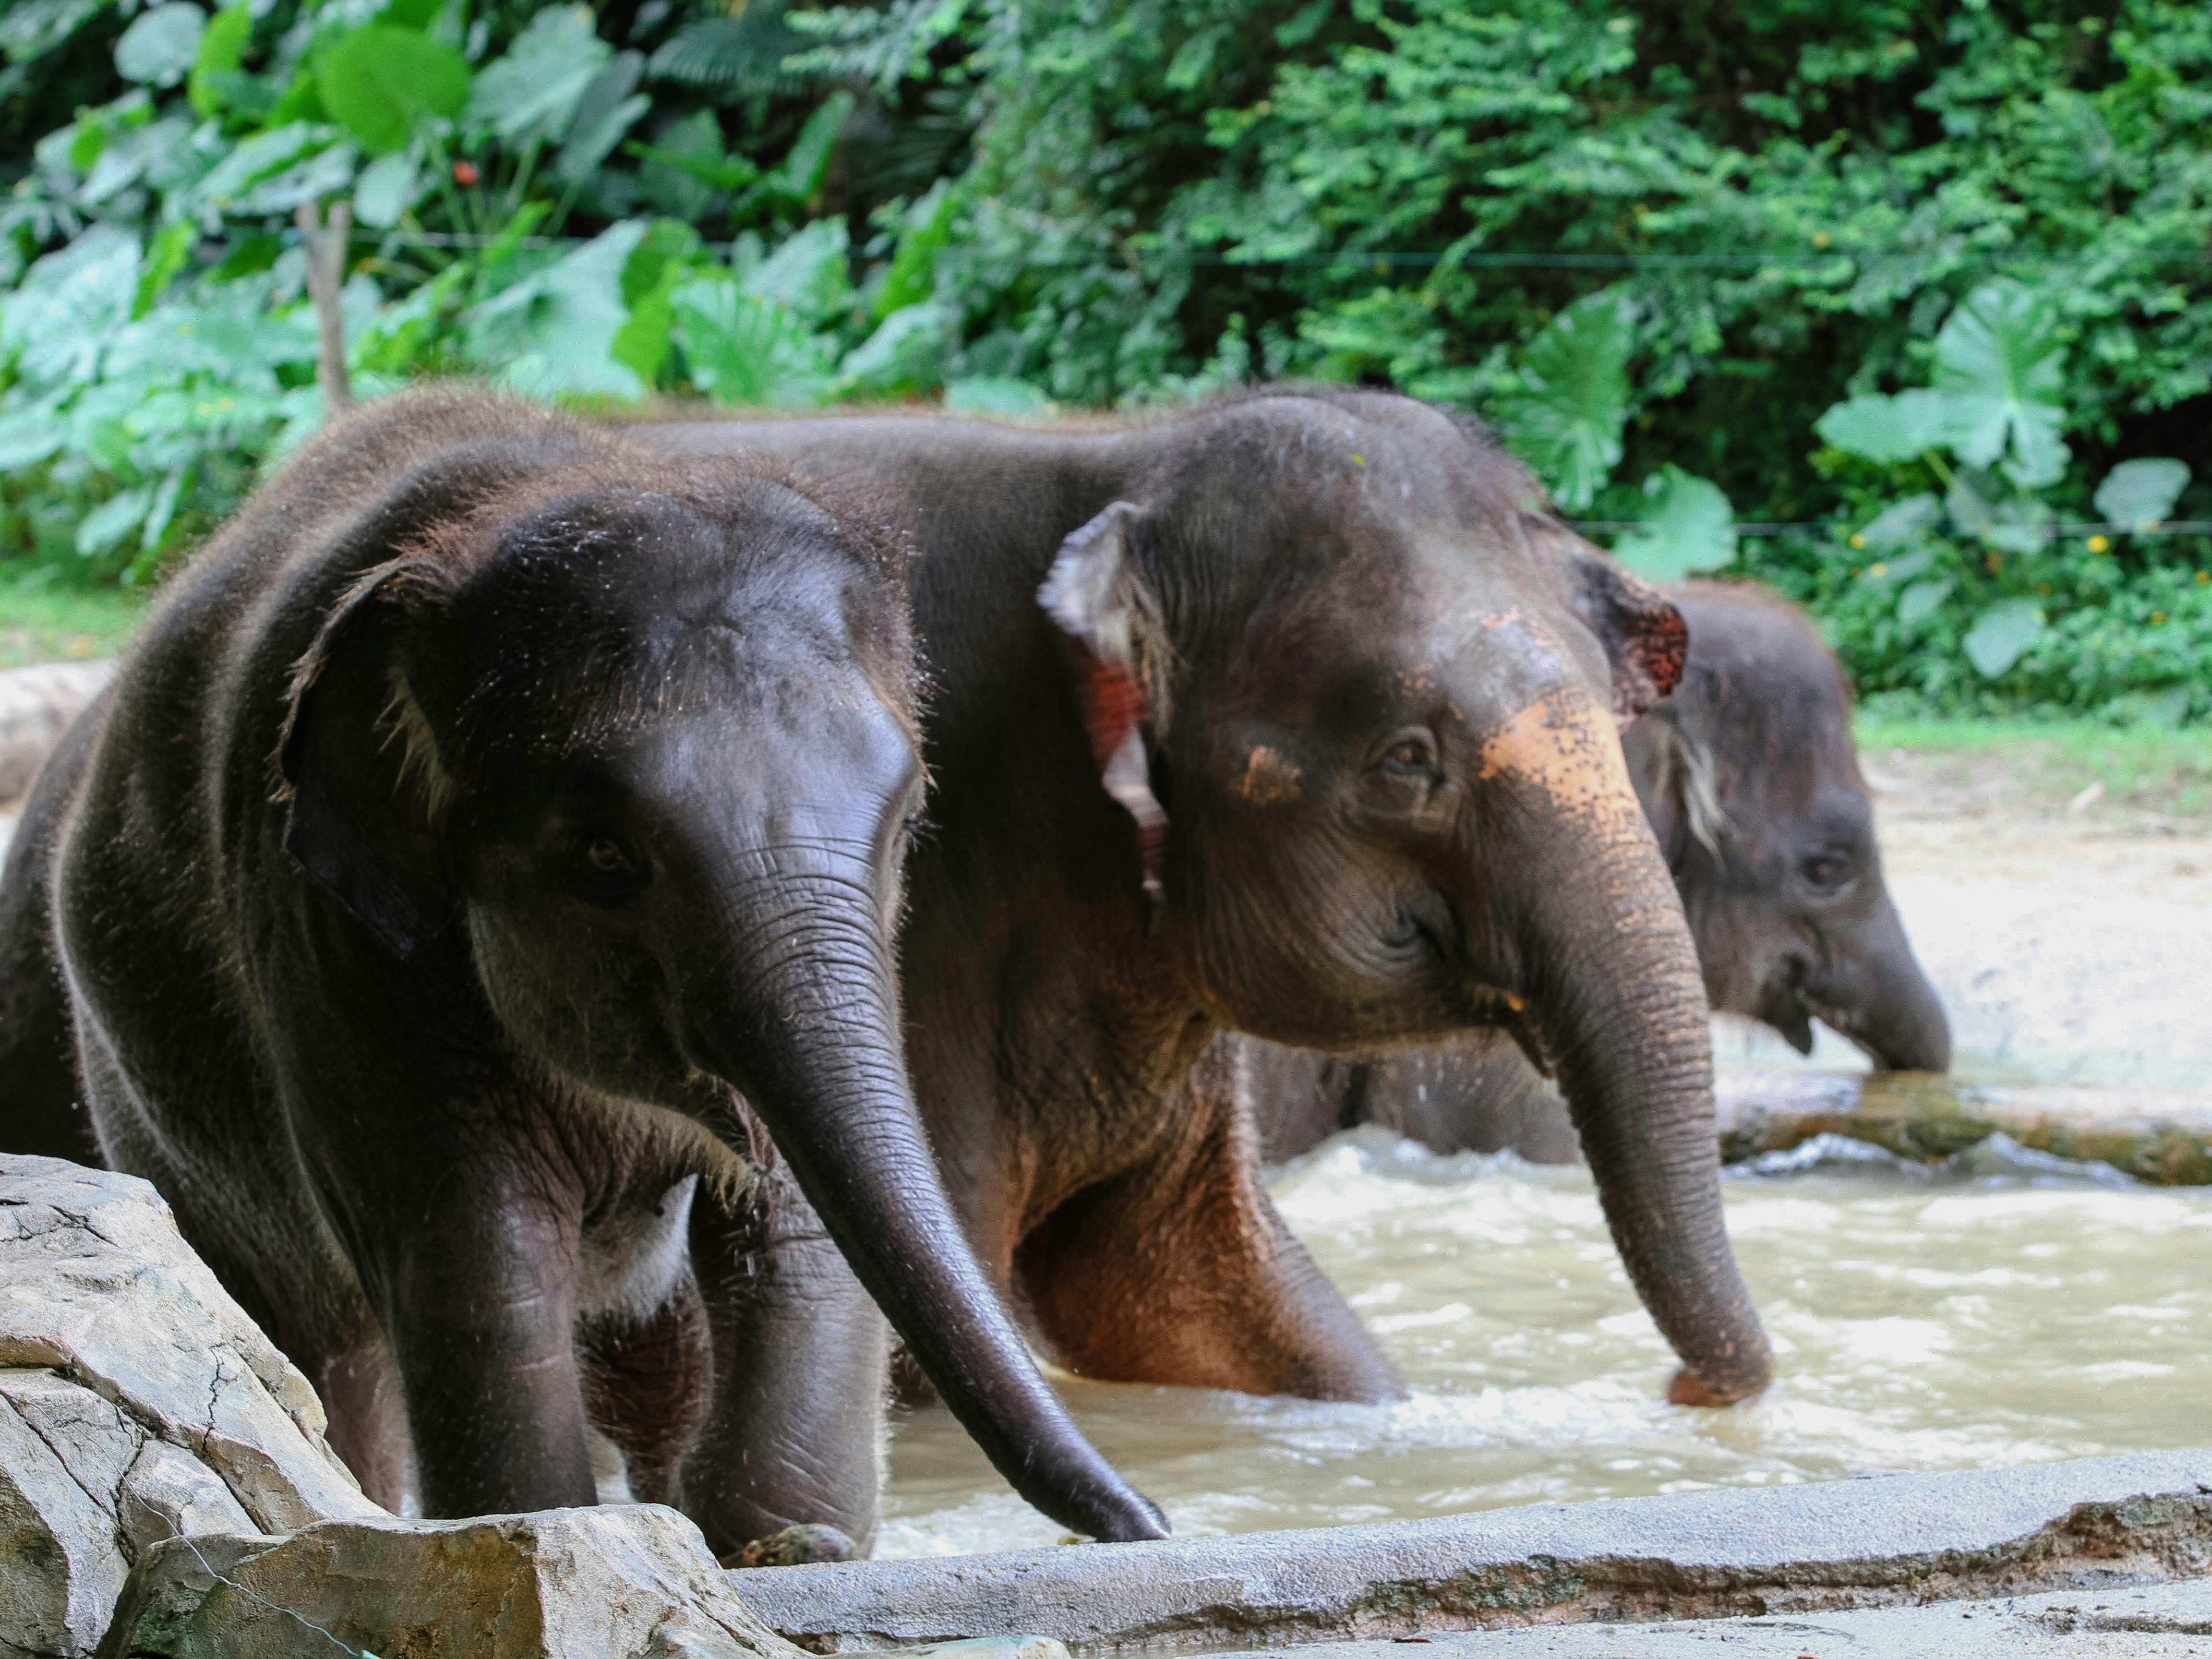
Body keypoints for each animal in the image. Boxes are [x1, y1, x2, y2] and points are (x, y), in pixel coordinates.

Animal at [0, 390, 1162, 1556]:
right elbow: (479, 1258)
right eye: (604, 856)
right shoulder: (330, 940)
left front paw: (783, 1543)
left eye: (908, 822)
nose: (1148, 1518)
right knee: (312, 1350)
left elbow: (798, 1240)